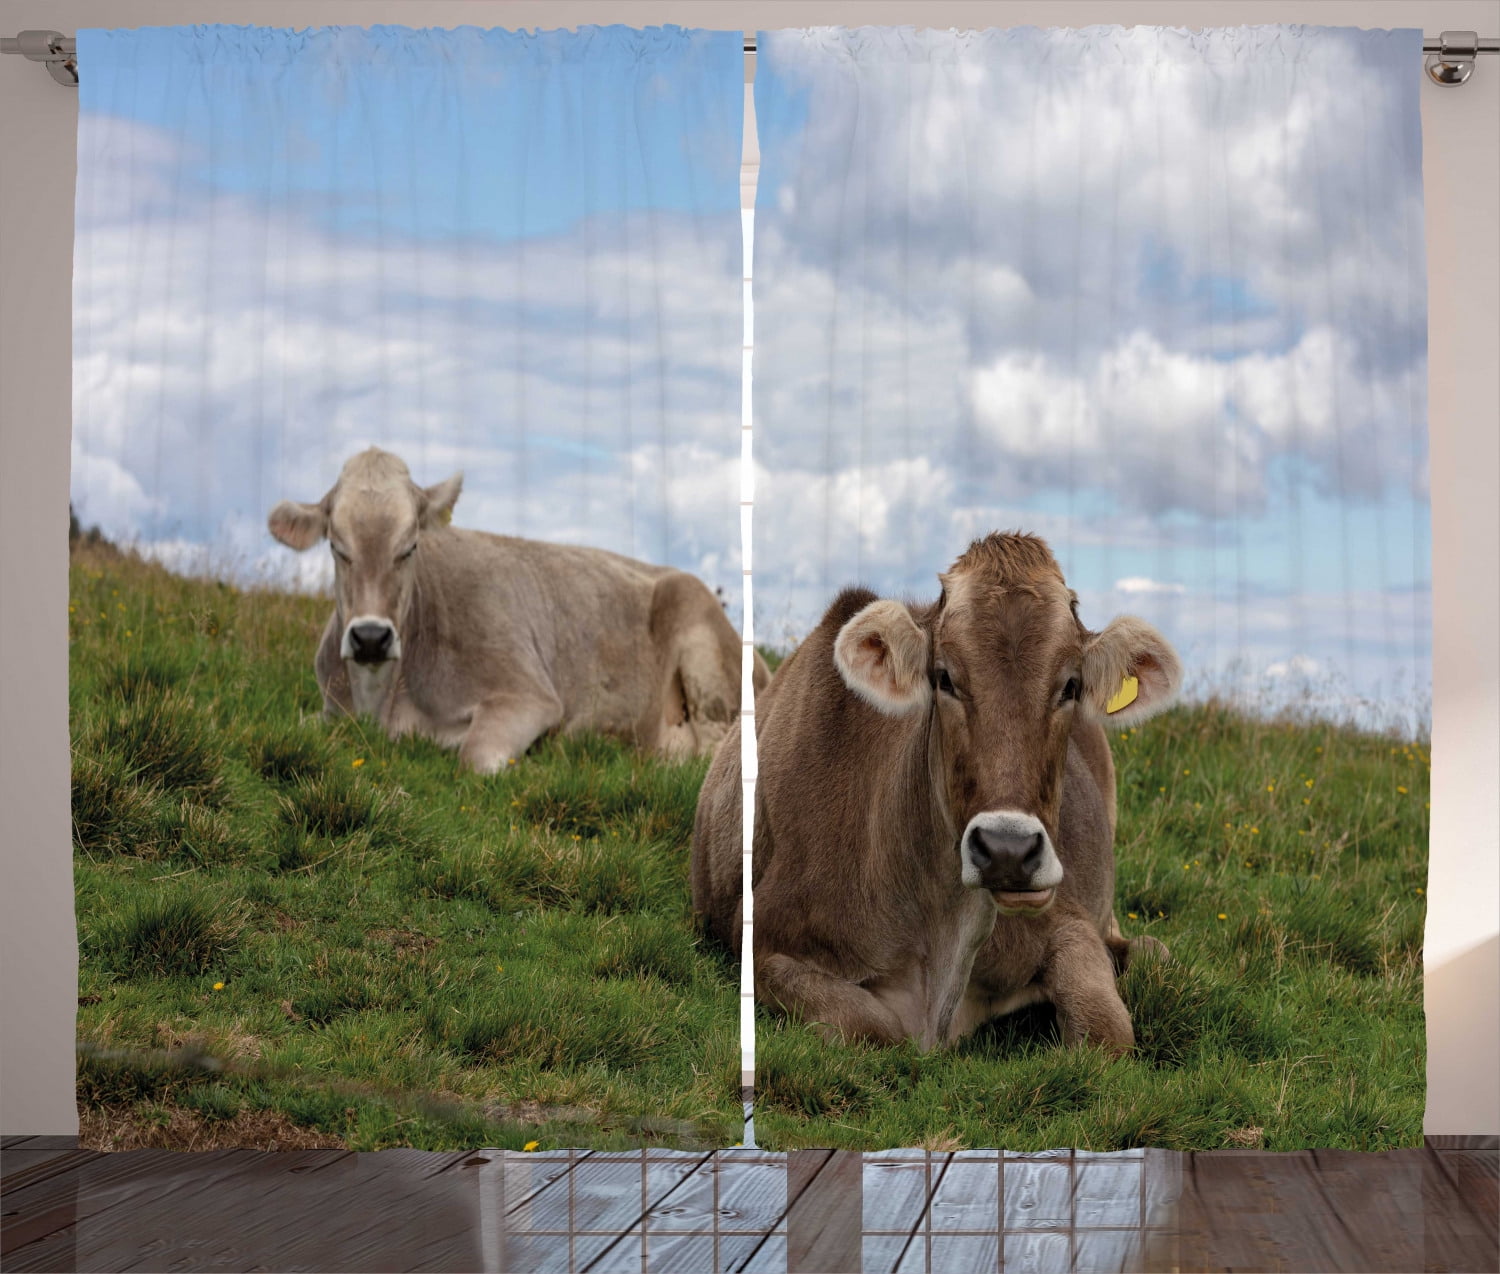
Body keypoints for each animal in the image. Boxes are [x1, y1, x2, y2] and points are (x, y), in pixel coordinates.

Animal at [269, 447, 767, 771]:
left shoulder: (527, 693)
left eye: (409, 547)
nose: (370, 638)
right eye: (337, 547)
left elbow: (474, 757)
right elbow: (296, 724)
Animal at [691, 532, 1180, 1054]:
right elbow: (872, 1026)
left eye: (1070, 685)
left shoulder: (1067, 919)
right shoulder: (762, 936)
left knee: (1153, 952)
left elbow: (1108, 1033)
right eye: (944, 677)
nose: (1007, 852)